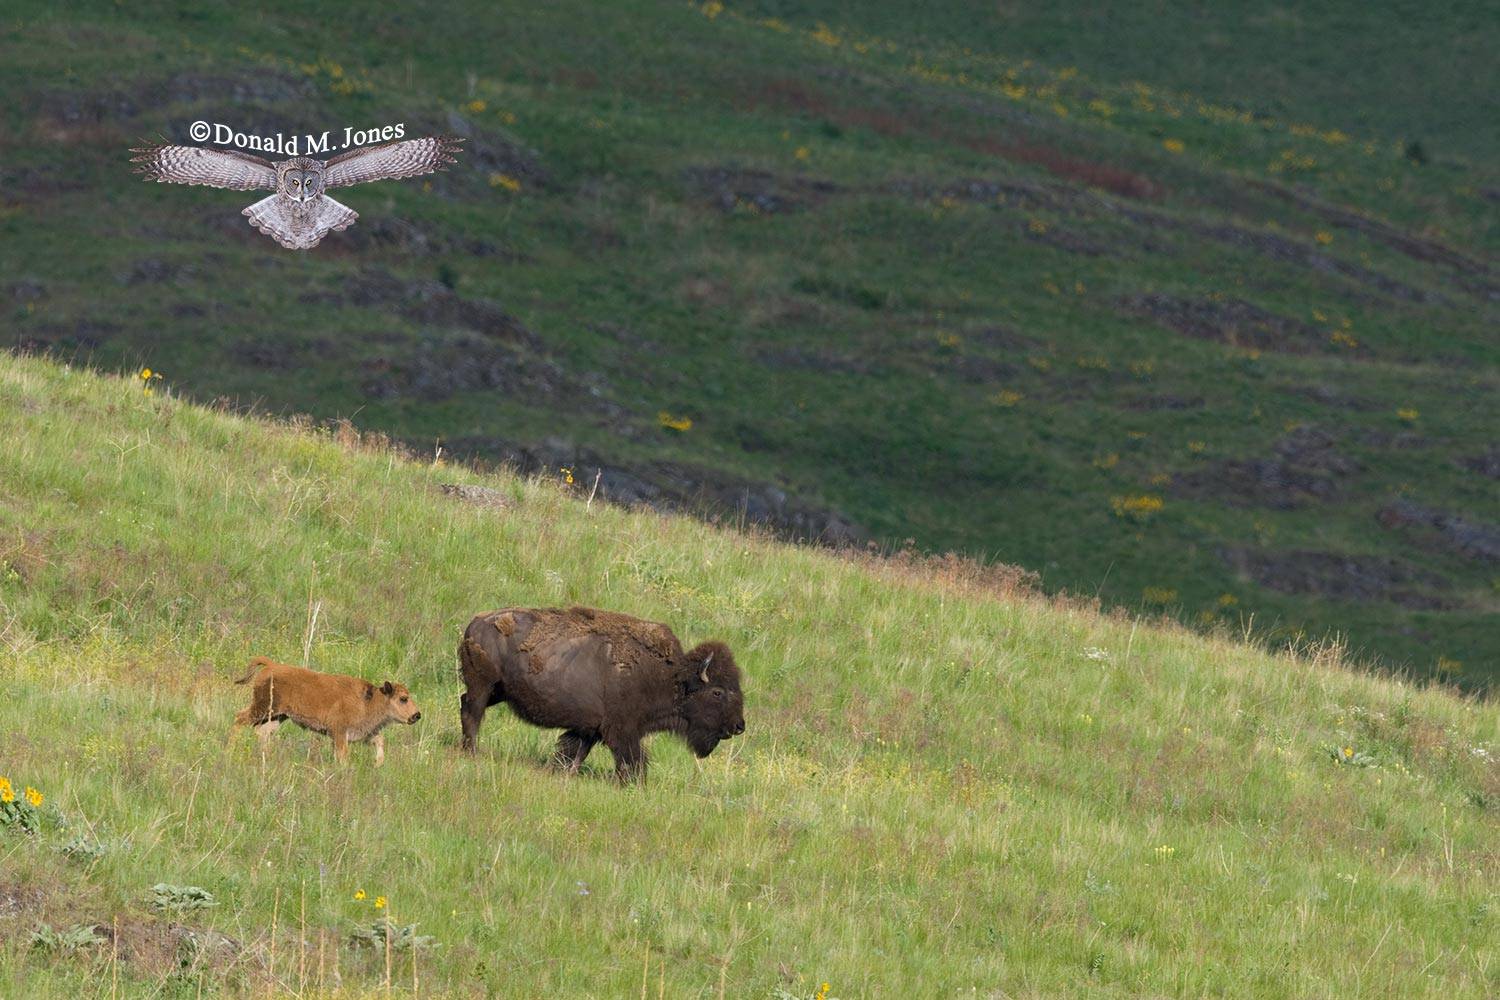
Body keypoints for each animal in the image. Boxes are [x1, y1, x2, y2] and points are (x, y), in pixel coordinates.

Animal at [458, 606, 745, 782]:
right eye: (717, 692)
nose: (739, 726)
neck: (673, 678)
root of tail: (475, 623)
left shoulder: (589, 729)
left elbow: (574, 752)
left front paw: (566, 773)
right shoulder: (622, 730)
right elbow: (633, 760)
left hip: (498, 691)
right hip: (483, 687)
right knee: (472, 713)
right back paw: (472, 752)